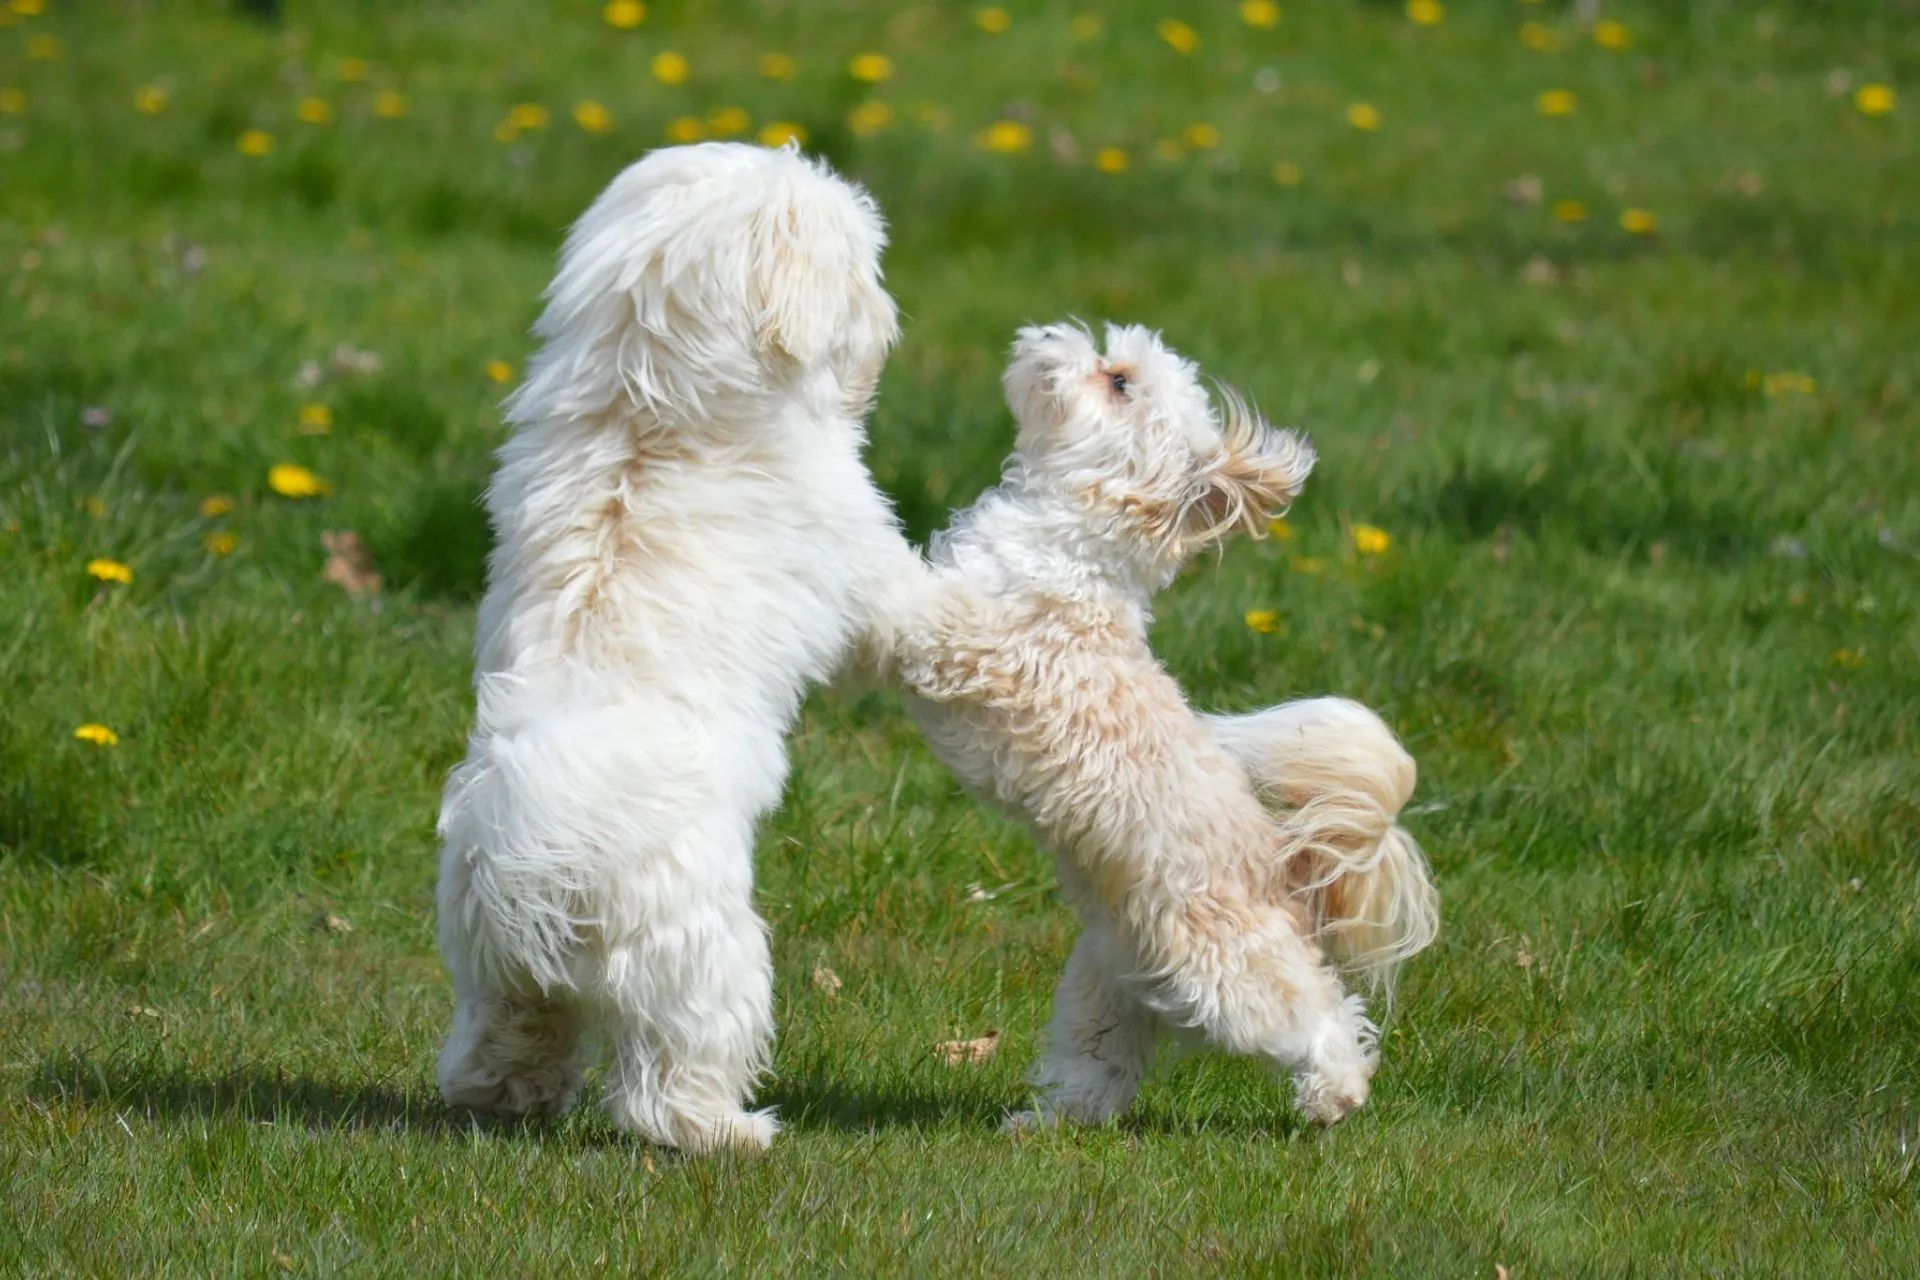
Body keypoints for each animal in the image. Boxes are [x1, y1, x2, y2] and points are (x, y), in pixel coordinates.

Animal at [435, 144, 913, 1159]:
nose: (888, 317)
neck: (648, 405)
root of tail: (539, 842)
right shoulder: (868, 567)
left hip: (496, 967)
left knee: (510, 1038)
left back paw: (501, 1099)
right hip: (700, 958)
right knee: (670, 1073)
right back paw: (729, 1131)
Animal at [902, 322, 1443, 1128]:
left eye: (1120, 380)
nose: (1049, 335)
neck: (1077, 536)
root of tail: (1284, 872)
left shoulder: (973, 632)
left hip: (1229, 973)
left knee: (1322, 1013)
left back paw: (1334, 1093)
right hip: (1104, 987)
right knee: (1096, 1072)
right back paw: (1047, 1124)